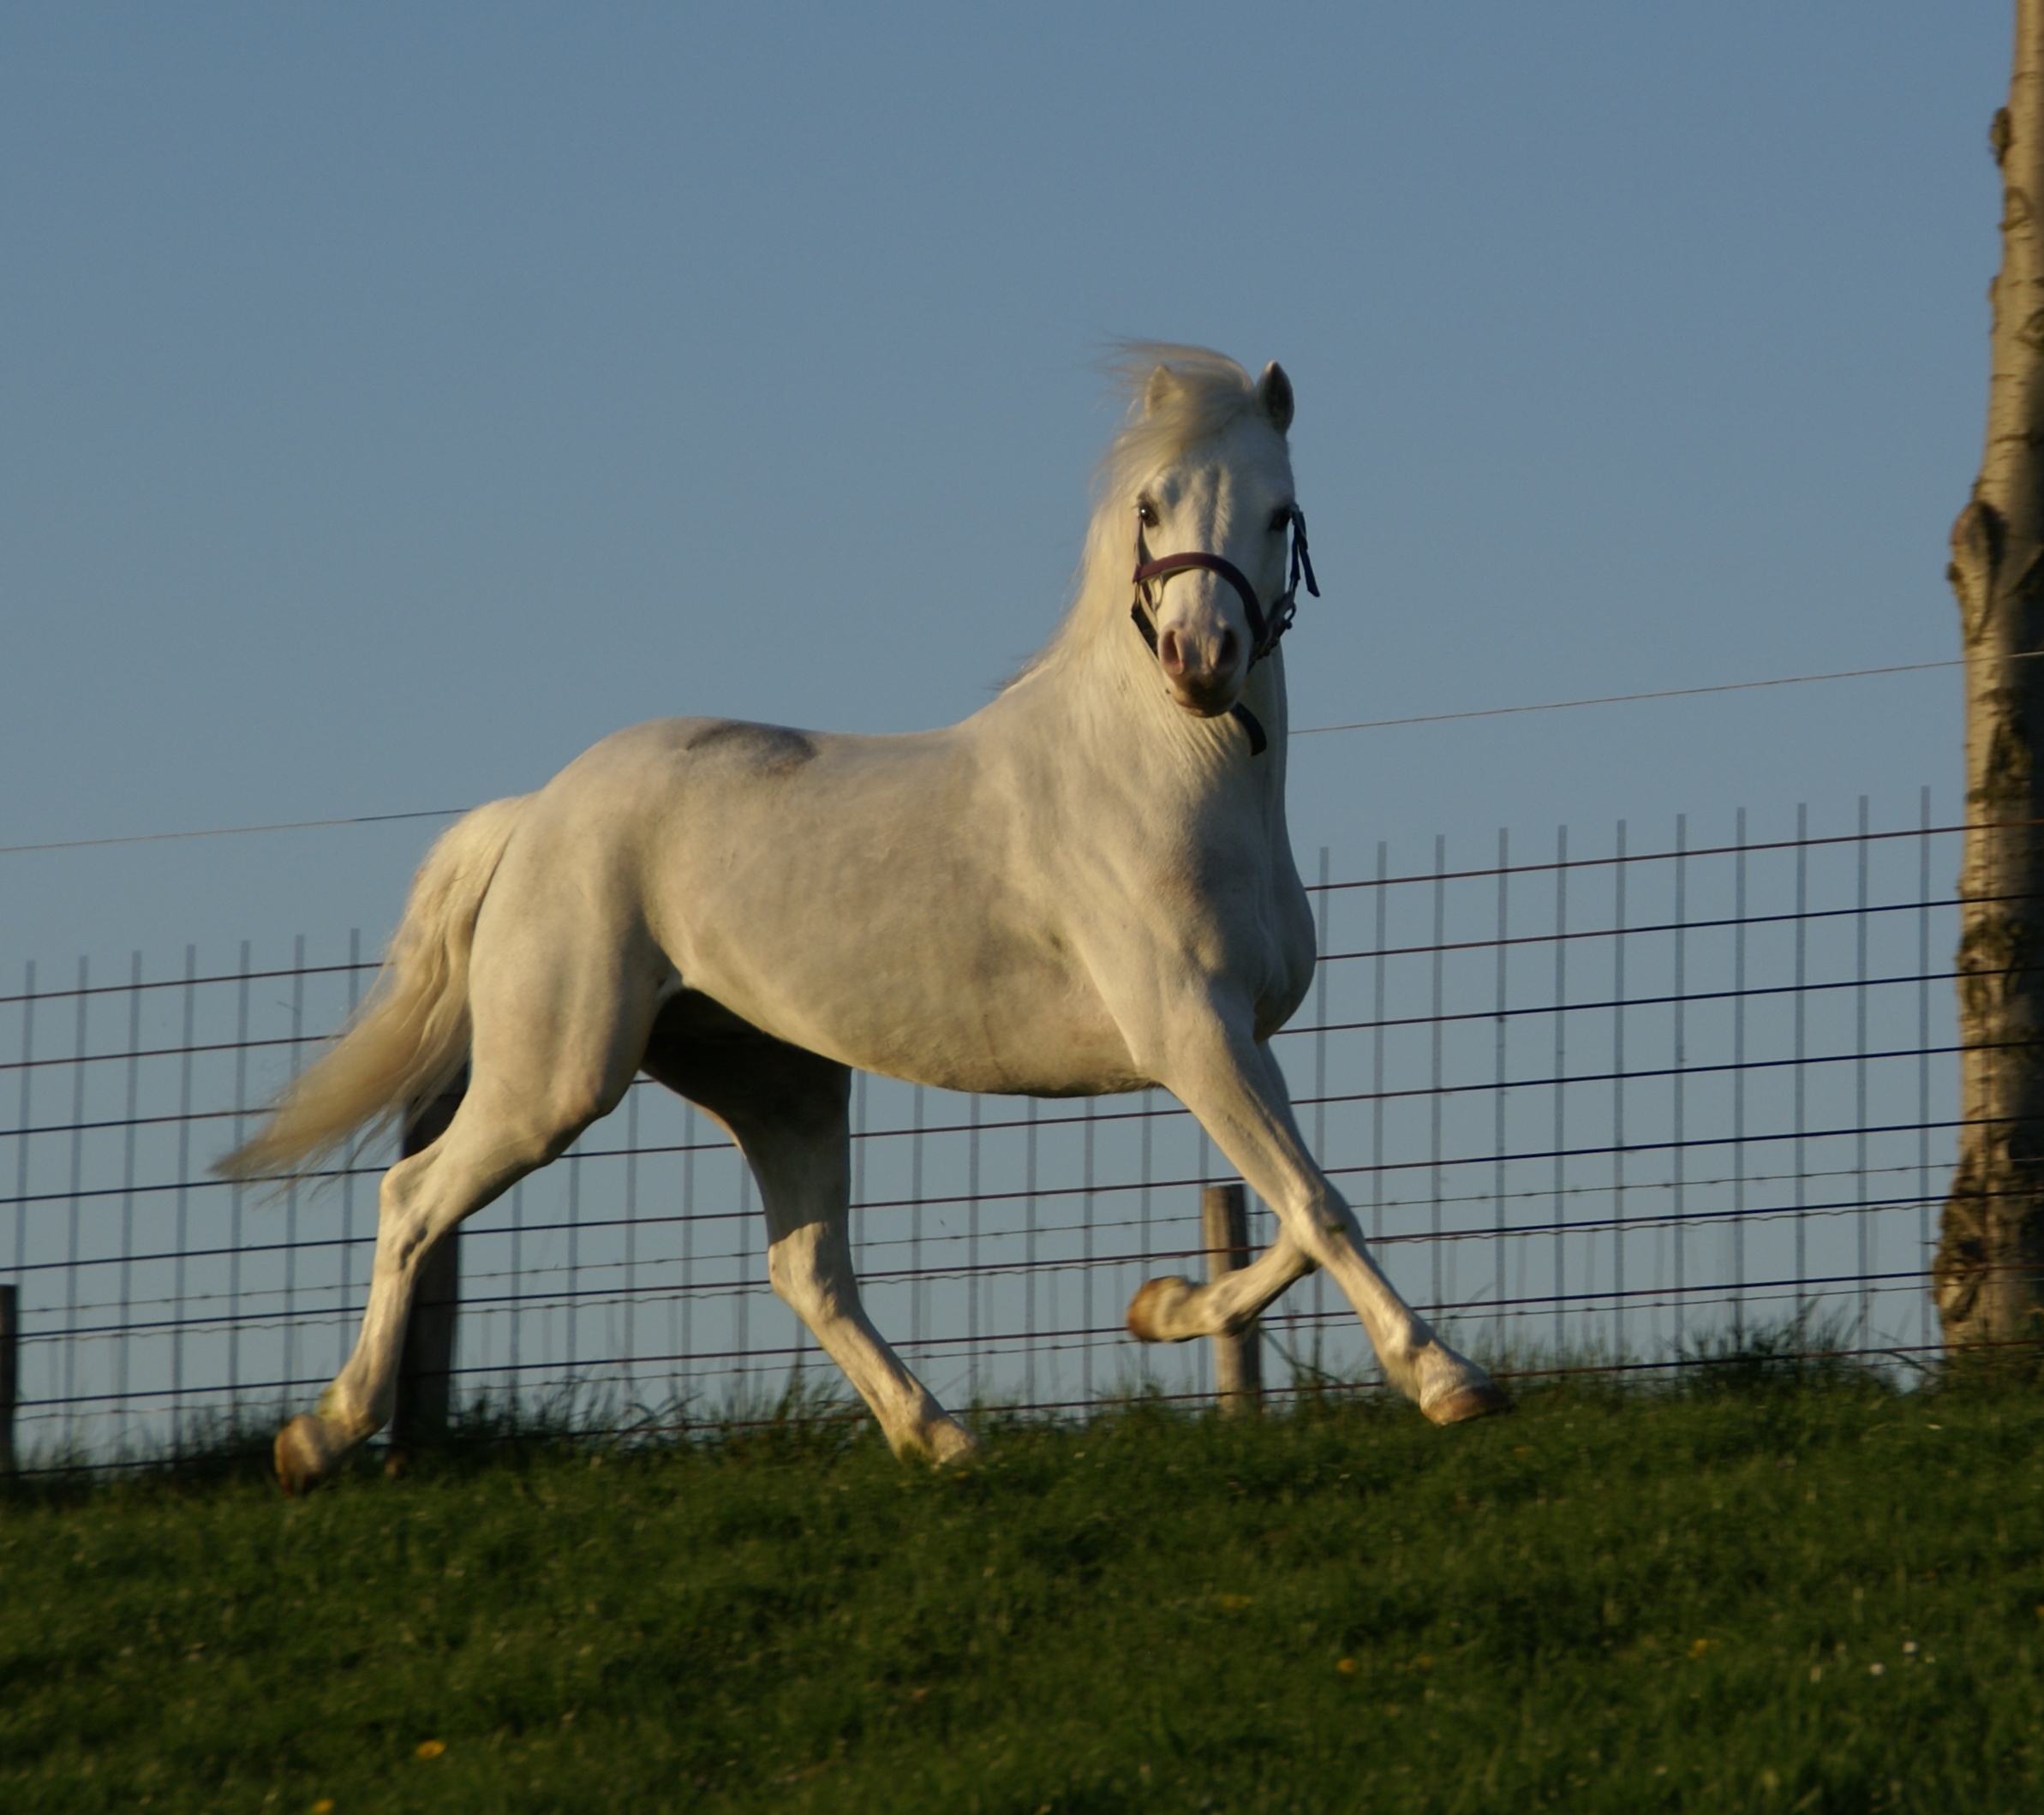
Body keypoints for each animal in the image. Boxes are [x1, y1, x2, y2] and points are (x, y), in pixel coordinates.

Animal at [220, 344, 1510, 1492]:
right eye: (1151, 505)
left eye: (1280, 513)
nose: (1201, 659)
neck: (1170, 774)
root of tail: (537, 812)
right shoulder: (1191, 1033)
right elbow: (1319, 1204)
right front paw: (1448, 1381)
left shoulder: (1235, 1042)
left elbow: (1298, 1207)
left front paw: (1163, 1307)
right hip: (557, 1078)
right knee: (410, 1198)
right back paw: (318, 1438)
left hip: (775, 1081)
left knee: (808, 1269)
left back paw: (942, 1439)